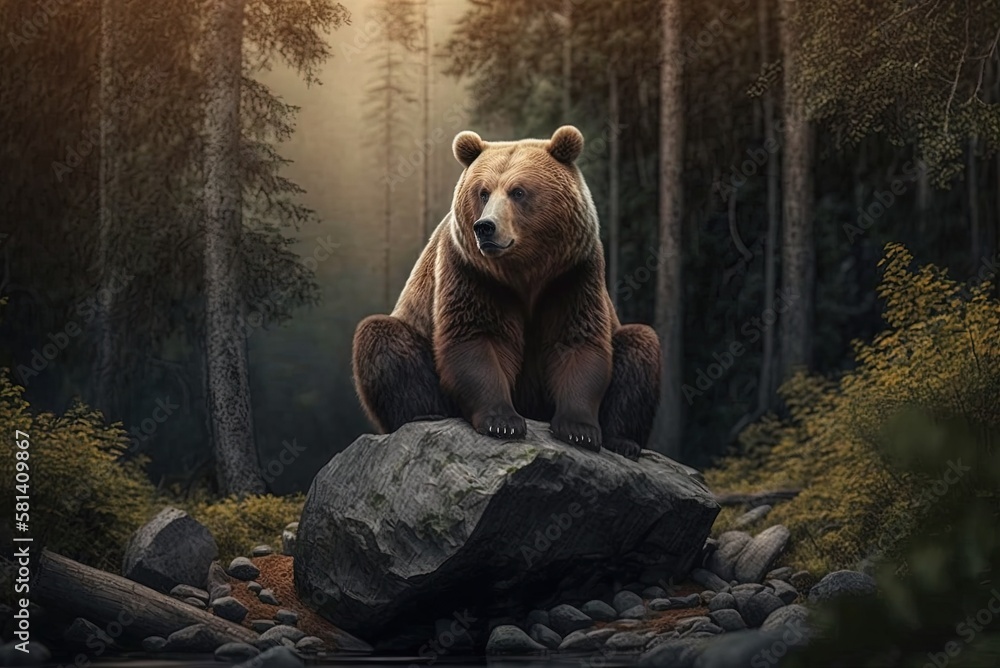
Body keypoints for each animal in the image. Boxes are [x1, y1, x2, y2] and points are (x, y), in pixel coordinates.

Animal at [351, 125, 661, 459]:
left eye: (518, 191)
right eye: (483, 192)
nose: (485, 227)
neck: (525, 270)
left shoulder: (573, 274)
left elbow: (578, 341)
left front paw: (579, 430)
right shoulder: (471, 272)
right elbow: (476, 339)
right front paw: (502, 422)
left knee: (640, 344)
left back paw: (623, 441)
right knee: (381, 337)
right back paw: (426, 414)